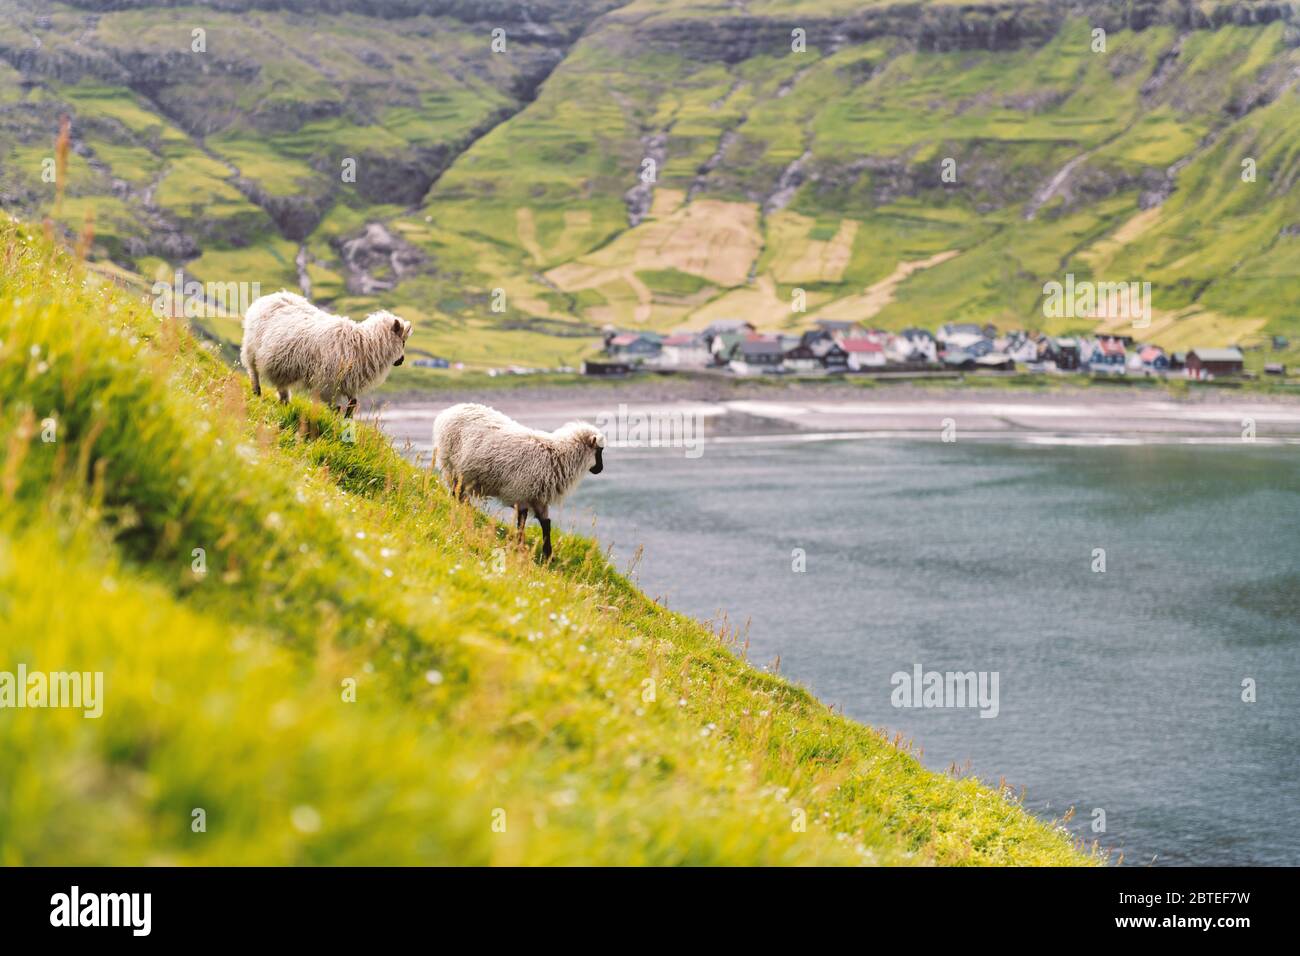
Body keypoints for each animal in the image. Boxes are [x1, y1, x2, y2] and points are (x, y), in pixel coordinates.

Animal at [240, 291, 412, 417]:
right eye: (403, 341)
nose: (401, 361)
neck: (363, 343)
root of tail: (270, 297)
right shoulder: (327, 383)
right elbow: (335, 408)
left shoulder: (347, 381)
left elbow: (353, 403)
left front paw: (347, 420)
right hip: (251, 349)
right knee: (253, 371)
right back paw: (257, 392)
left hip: (282, 365)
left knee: (282, 385)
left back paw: (285, 403)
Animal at [432, 403, 605, 560]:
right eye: (599, 450)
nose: (600, 469)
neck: (558, 454)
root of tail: (449, 410)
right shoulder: (520, 493)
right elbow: (522, 522)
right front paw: (521, 546)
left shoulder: (538, 498)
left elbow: (546, 523)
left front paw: (548, 554)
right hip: (450, 465)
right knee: (456, 493)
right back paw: (465, 512)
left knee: (459, 494)